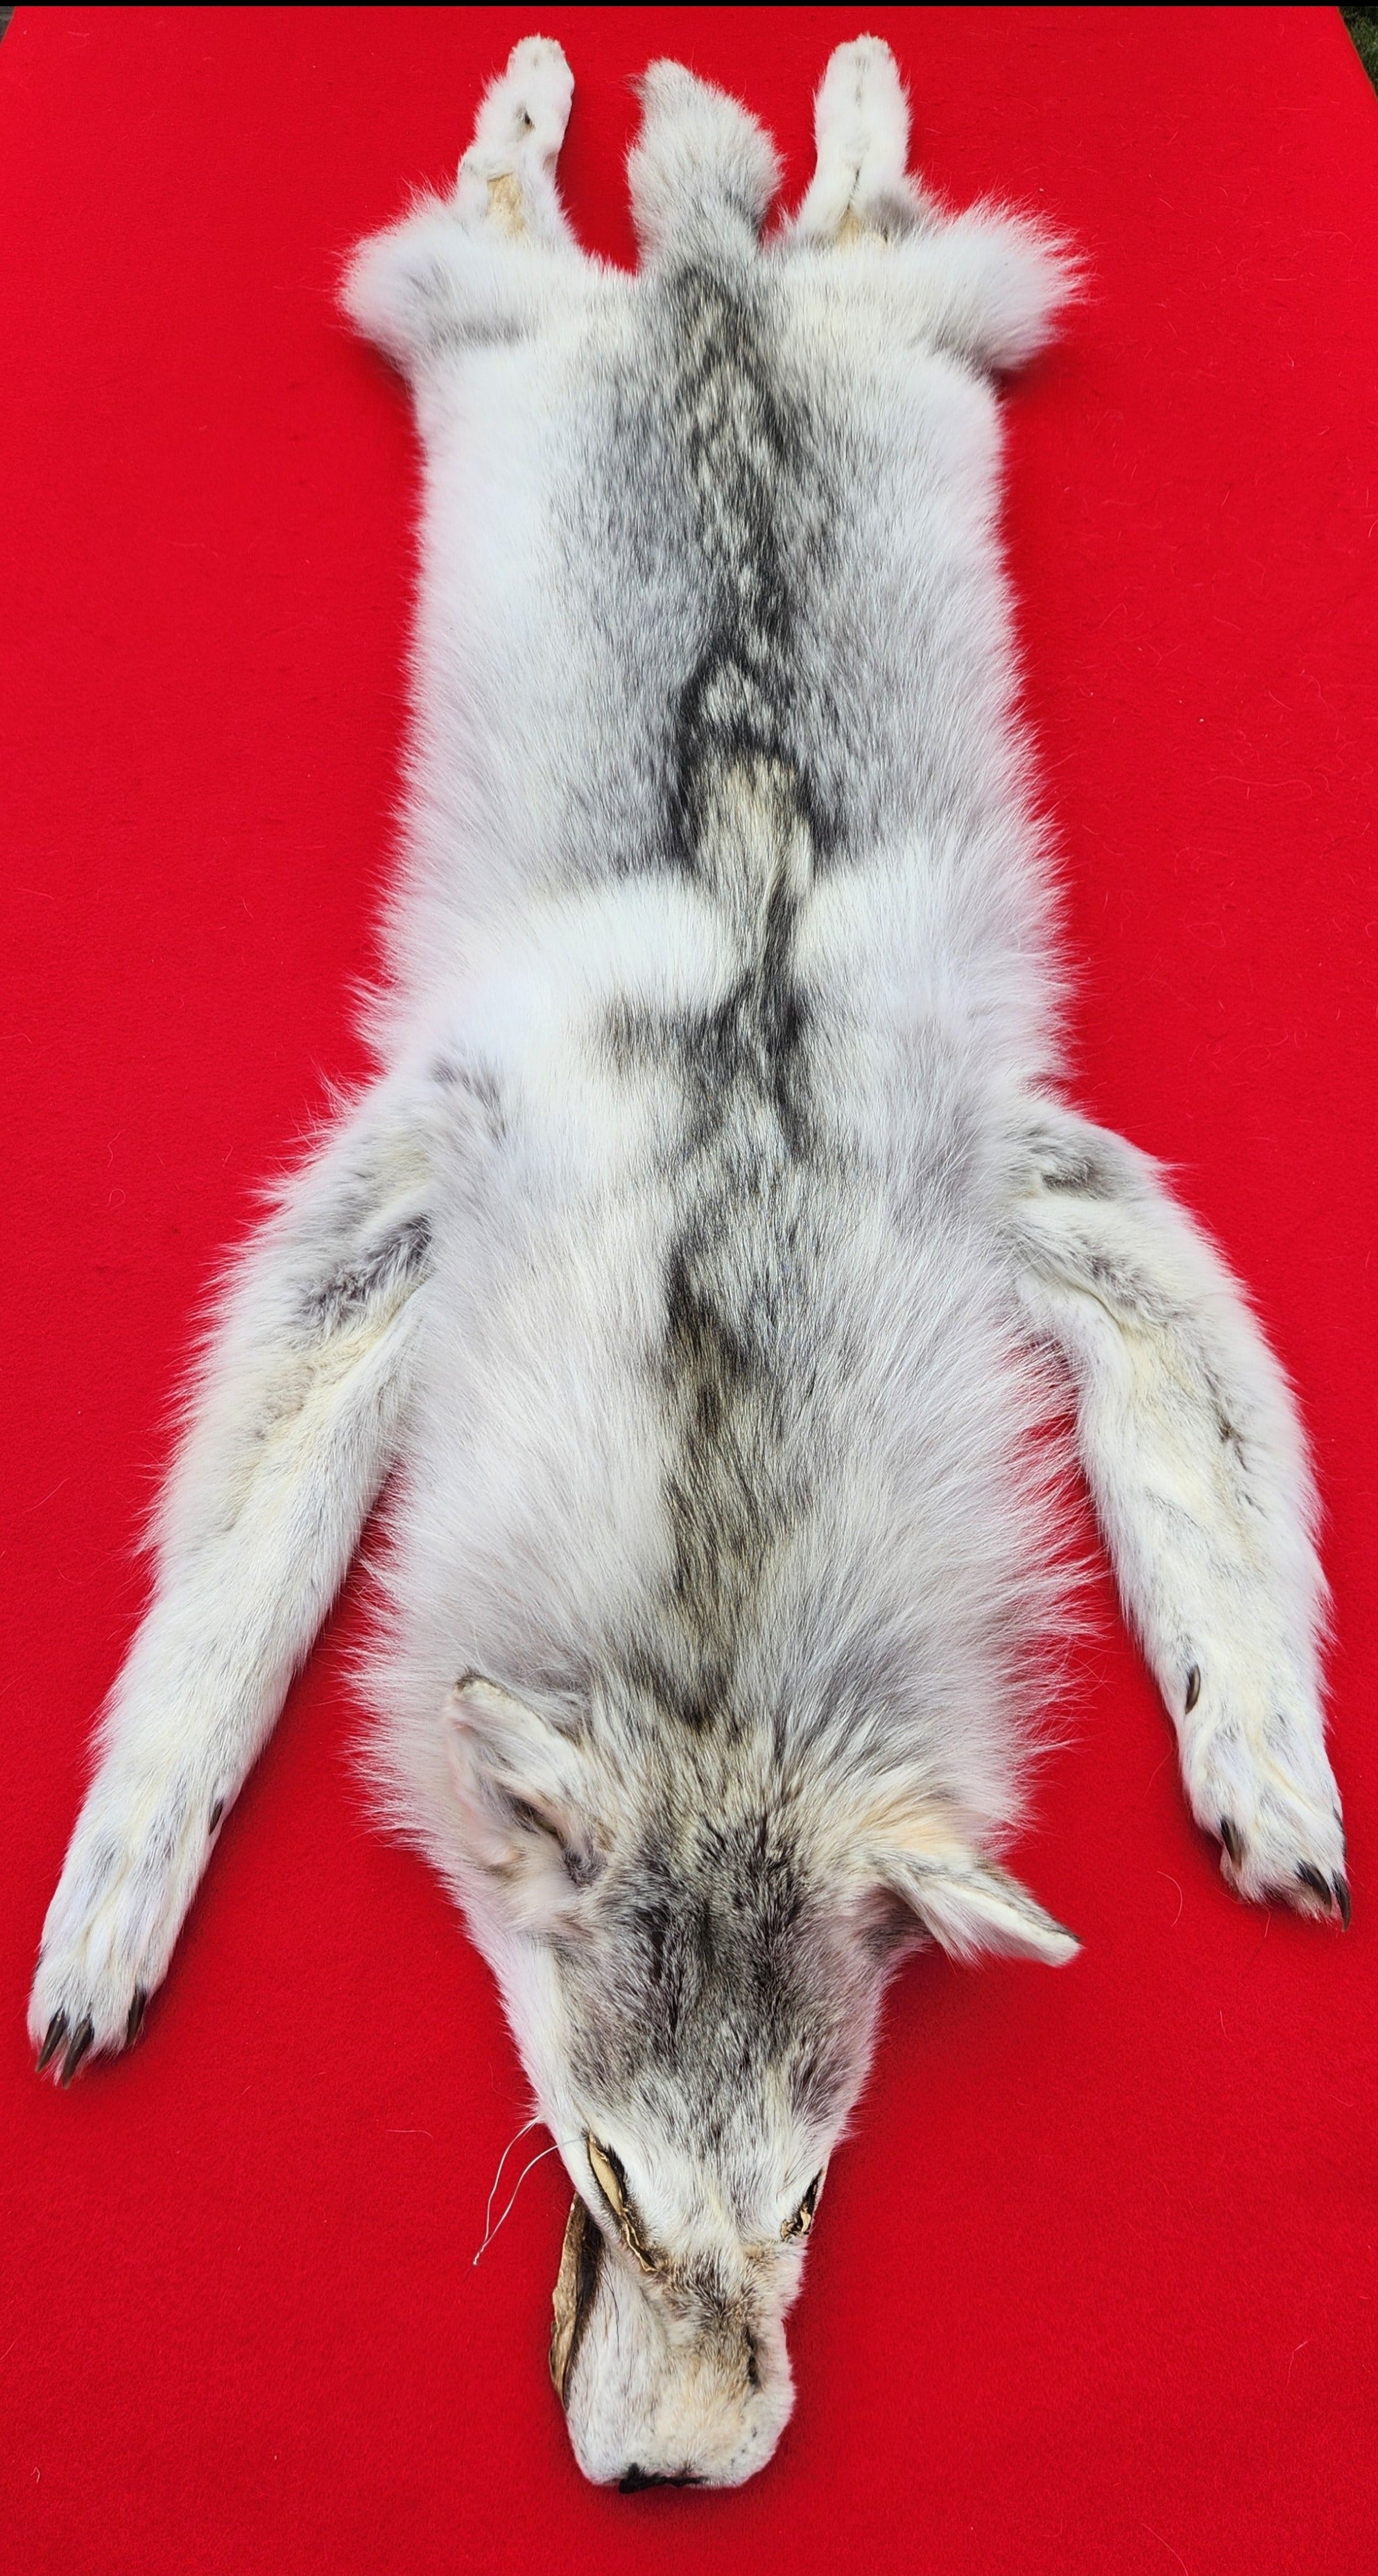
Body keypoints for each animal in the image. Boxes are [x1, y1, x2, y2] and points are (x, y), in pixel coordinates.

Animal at [28, 36, 1347, 2490]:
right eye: (608, 2169)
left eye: (813, 2190)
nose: (675, 2482)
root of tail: (701, 294)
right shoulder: (404, 1190)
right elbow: (209, 1645)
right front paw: (113, 1904)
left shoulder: (1051, 1183)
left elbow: (1216, 1520)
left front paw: (1266, 1773)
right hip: (478, 324)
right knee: (519, 201)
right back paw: (580, 102)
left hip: (907, 318)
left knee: (832, 203)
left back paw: (801, 109)